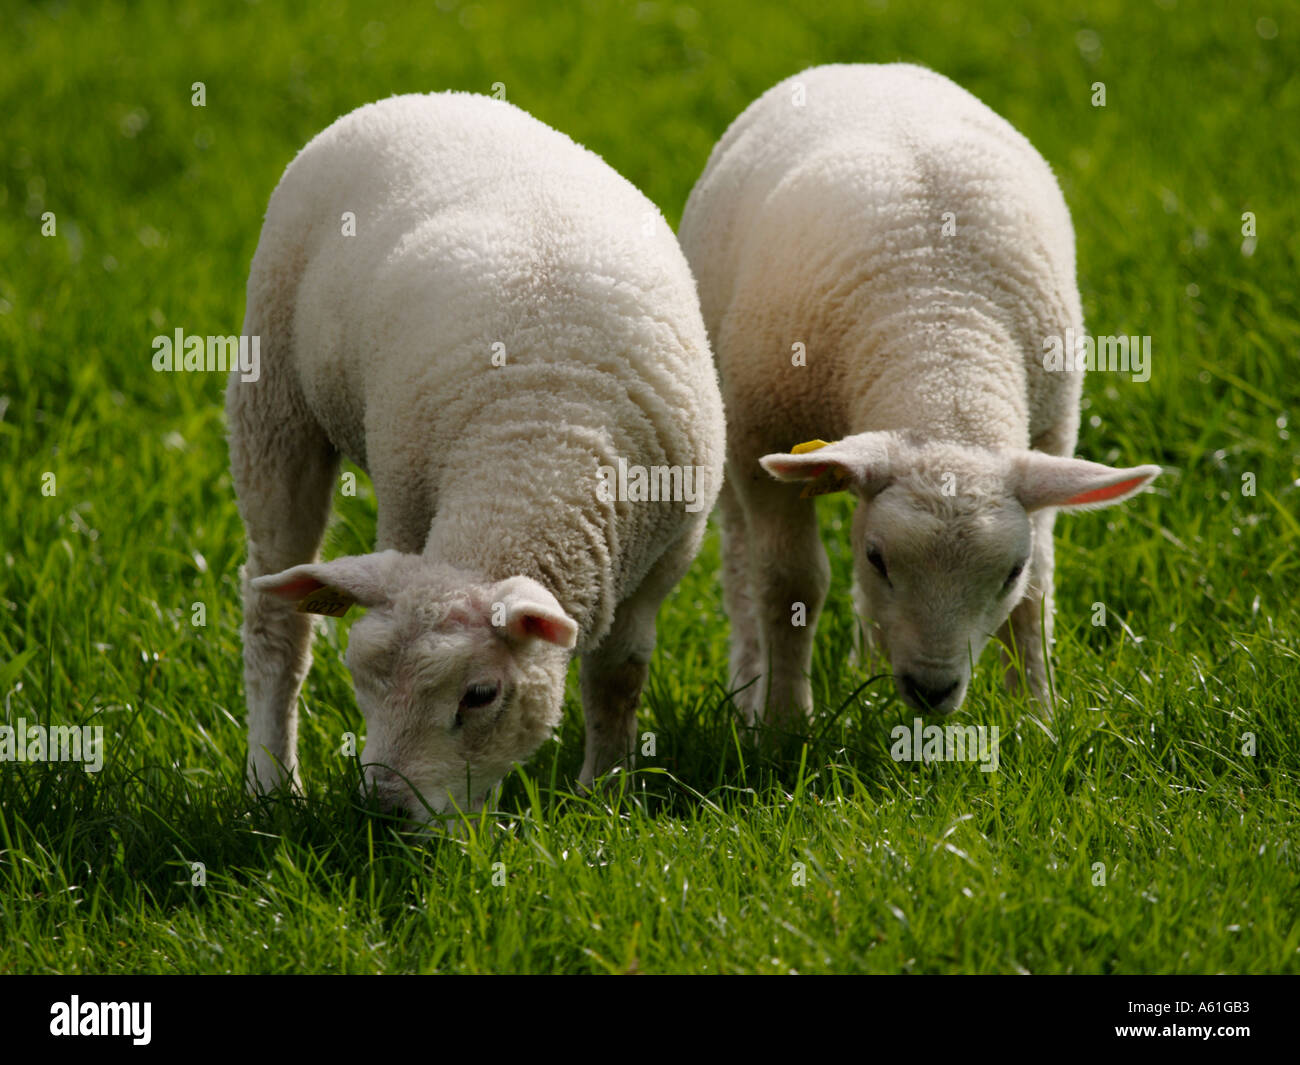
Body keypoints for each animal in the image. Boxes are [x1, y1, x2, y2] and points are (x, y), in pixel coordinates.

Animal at [228, 92, 725, 818]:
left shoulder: (663, 562)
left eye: (480, 695)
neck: (534, 451)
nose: (384, 810)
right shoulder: (407, 514)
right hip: (273, 400)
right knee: (274, 623)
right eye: (363, 682)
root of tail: (421, 98)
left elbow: (617, 679)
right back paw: (270, 784)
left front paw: (601, 796)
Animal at [678, 63, 1159, 725]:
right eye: (878, 558)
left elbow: (1037, 594)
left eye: (1008, 570)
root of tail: (868, 67)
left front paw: (1036, 717)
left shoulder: (1050, 435)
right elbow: (790, 584)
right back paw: (750, 682)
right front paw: (783, 724)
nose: (933, 690)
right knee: (740, 563)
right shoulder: (763, 434)